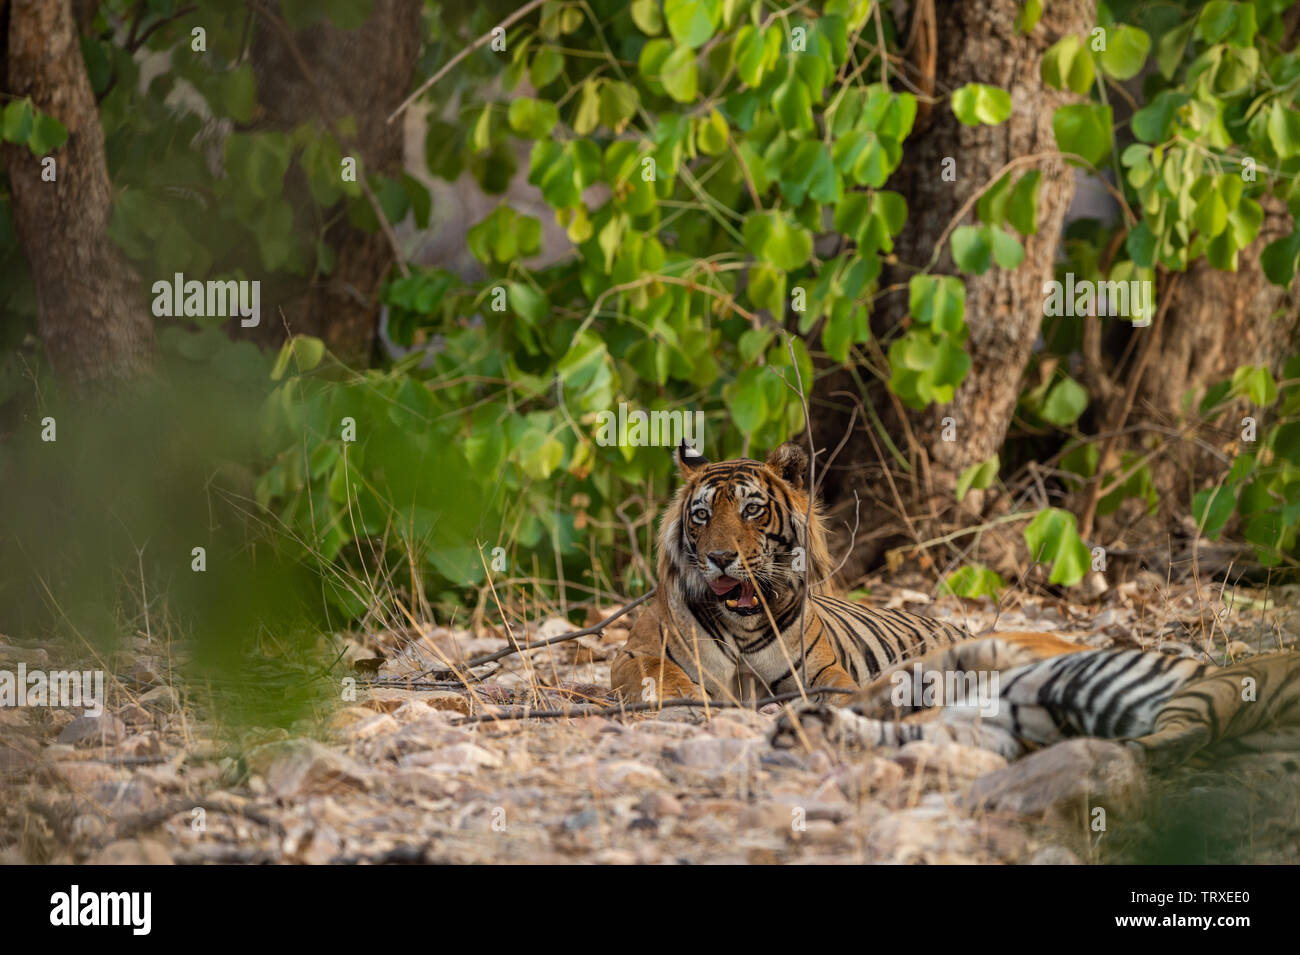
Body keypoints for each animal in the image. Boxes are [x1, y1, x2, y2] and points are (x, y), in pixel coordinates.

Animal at [609, 441, 969, 705]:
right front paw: (683, 694)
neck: (742, 626)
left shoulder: (819, 670)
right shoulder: (633, 651)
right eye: (702, 514)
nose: (720, 557)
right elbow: (658, 670)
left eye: (752, 509)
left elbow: (840, 690)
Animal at [772, 632, 1300, 770]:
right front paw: (809, 725)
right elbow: (897, 729)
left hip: (1219, 688)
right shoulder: (981, 730)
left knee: (1193, 730)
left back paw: (1125, 752)